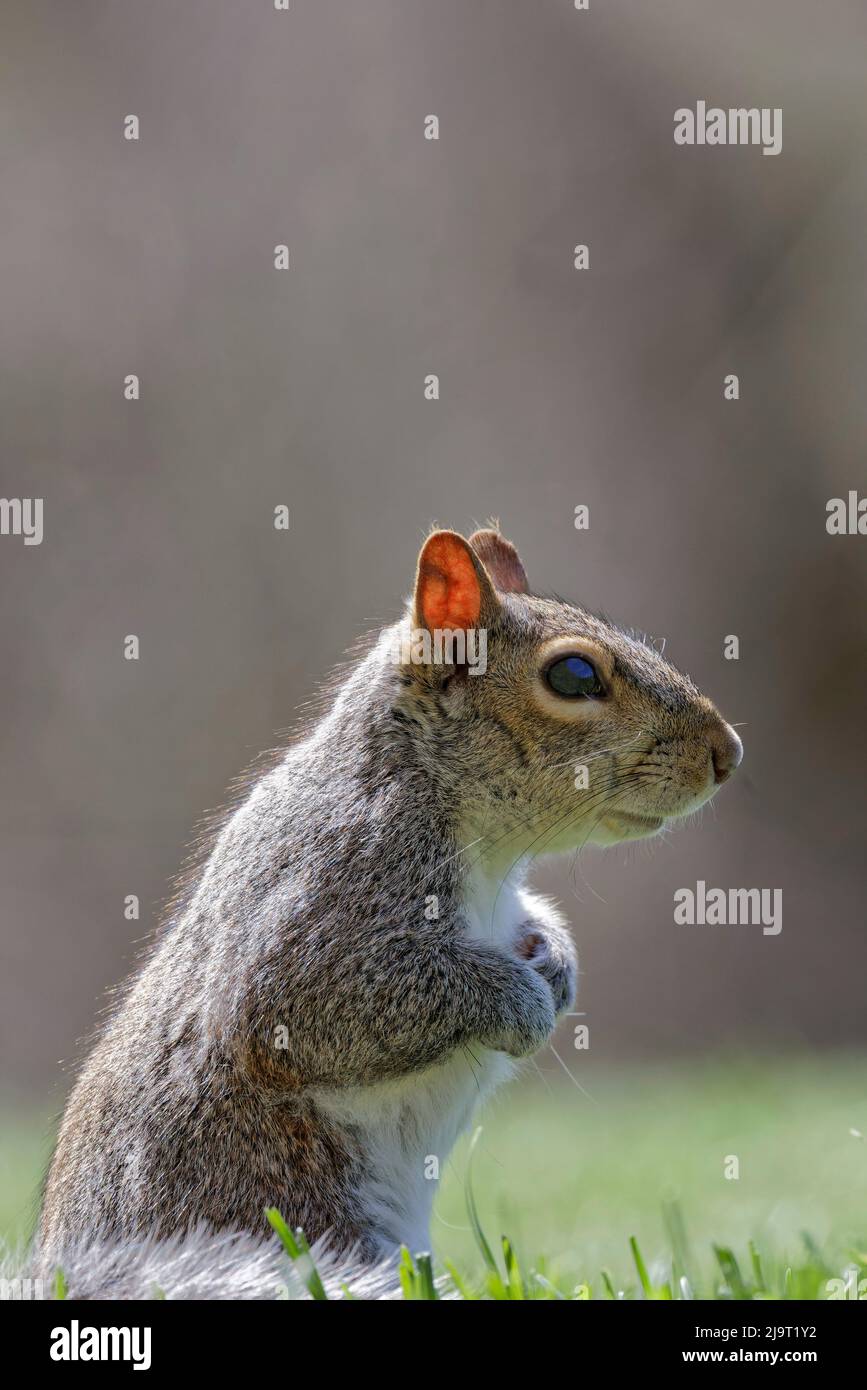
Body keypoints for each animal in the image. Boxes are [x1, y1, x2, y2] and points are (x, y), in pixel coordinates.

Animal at [25, 526, 742, 1299]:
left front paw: (556, 964)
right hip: (305, 1211)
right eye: (574, 676)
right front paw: (521, 1003)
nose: (727, 752)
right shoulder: (334, 875)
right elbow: (300, 1004)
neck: (483, 846)